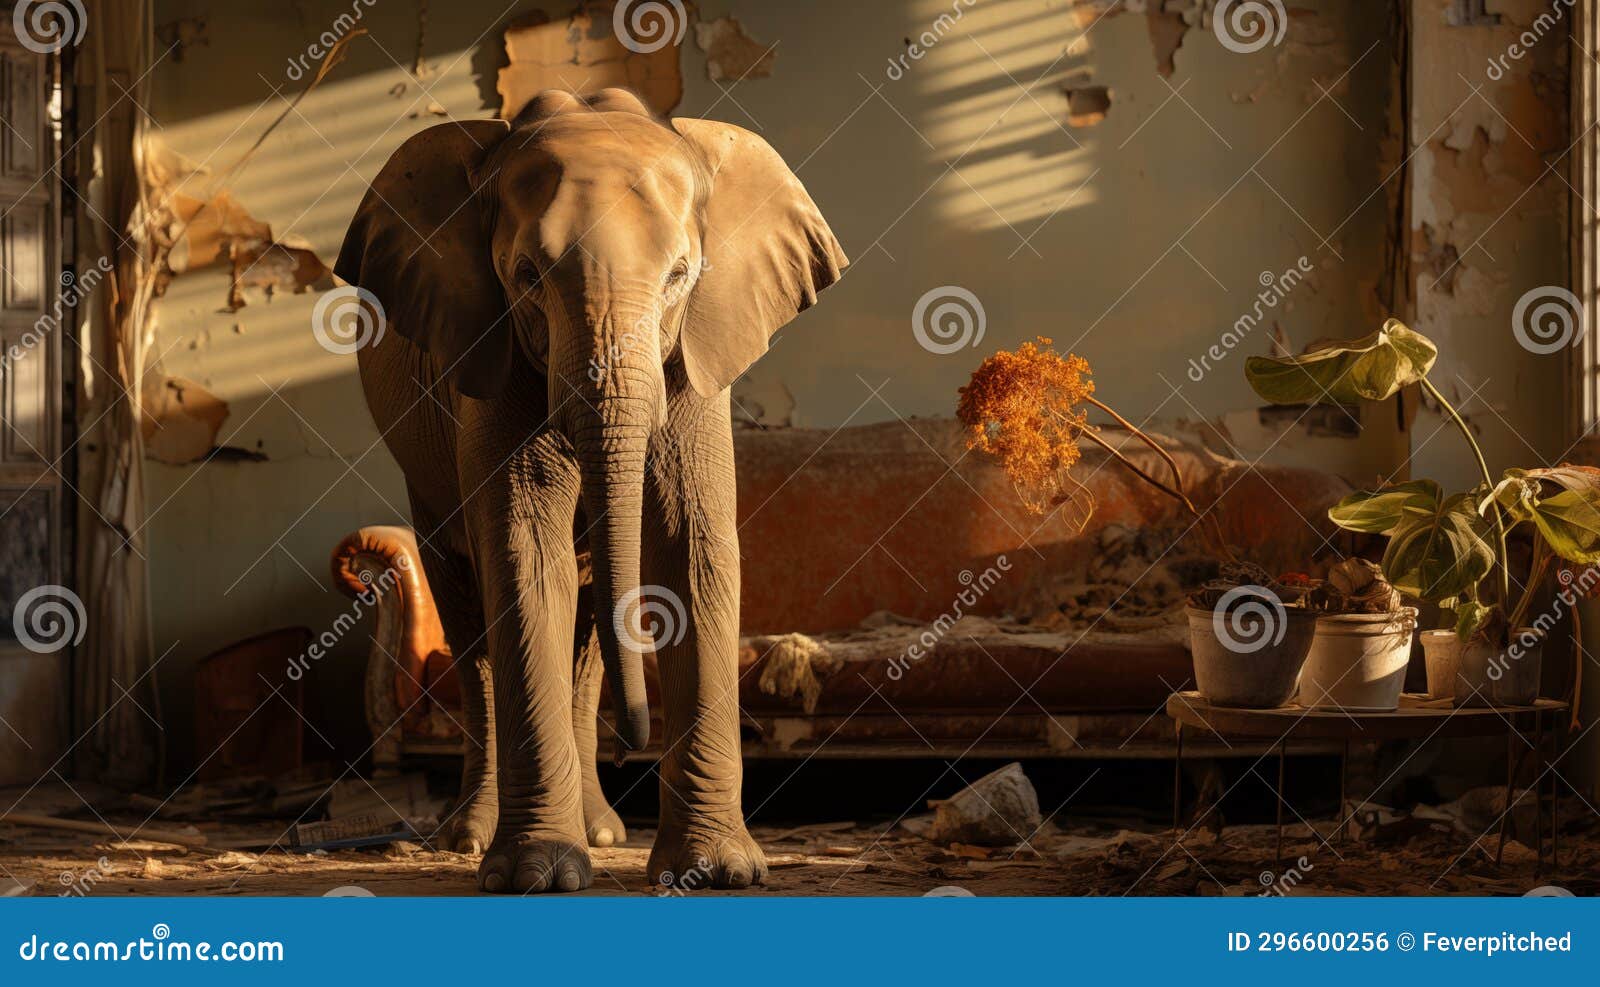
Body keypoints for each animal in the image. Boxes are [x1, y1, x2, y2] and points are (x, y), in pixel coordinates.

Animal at [334, 87, 848, 893]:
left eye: (680, 275)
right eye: (526, 276)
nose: (636, 739)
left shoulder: (697, 357)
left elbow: (693, 546)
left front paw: (717, 872)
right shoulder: (487, 352)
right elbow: (522, 552)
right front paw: (535, 874)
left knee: (586, 633)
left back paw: (604, 831)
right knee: (467, 606)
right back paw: (471, 838)